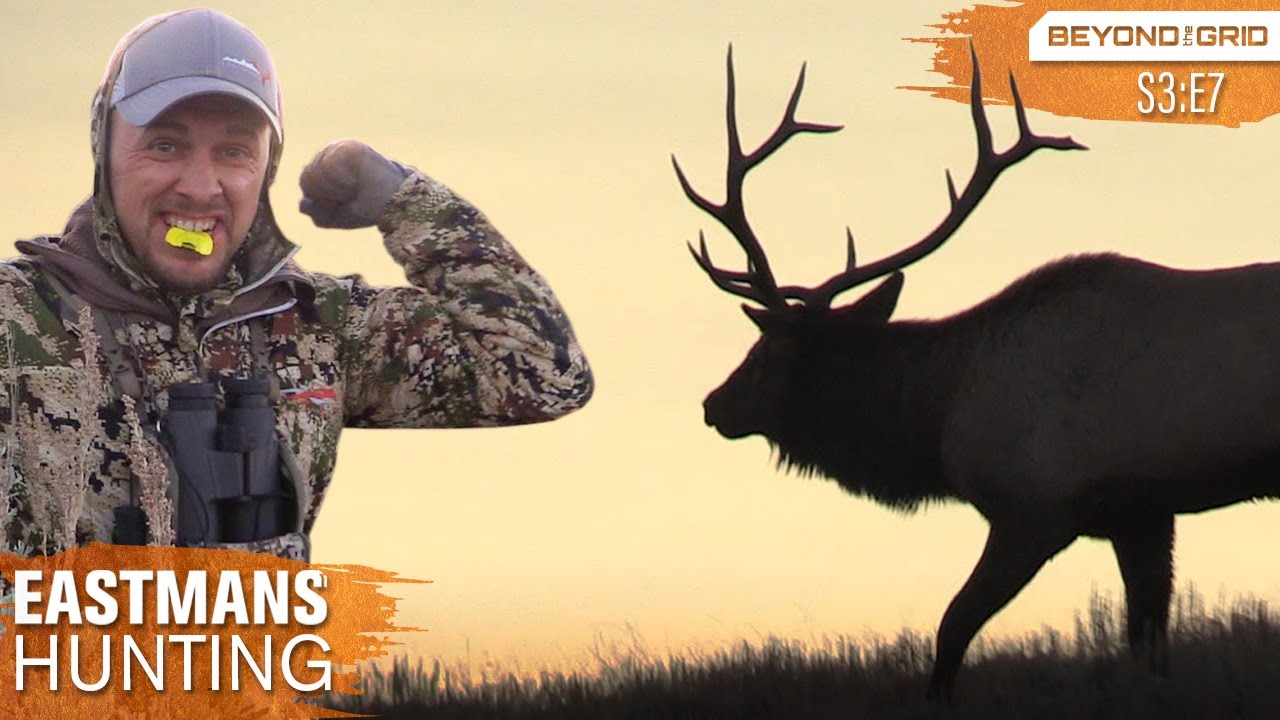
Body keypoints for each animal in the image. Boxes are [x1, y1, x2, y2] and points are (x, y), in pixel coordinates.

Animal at [675, 44, 1280, 700]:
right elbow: (1147, 639)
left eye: (764, 353)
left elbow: (953, 627)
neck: (940, 414)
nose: (712, 403)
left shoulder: (1034, 508)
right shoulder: (1140, 511)